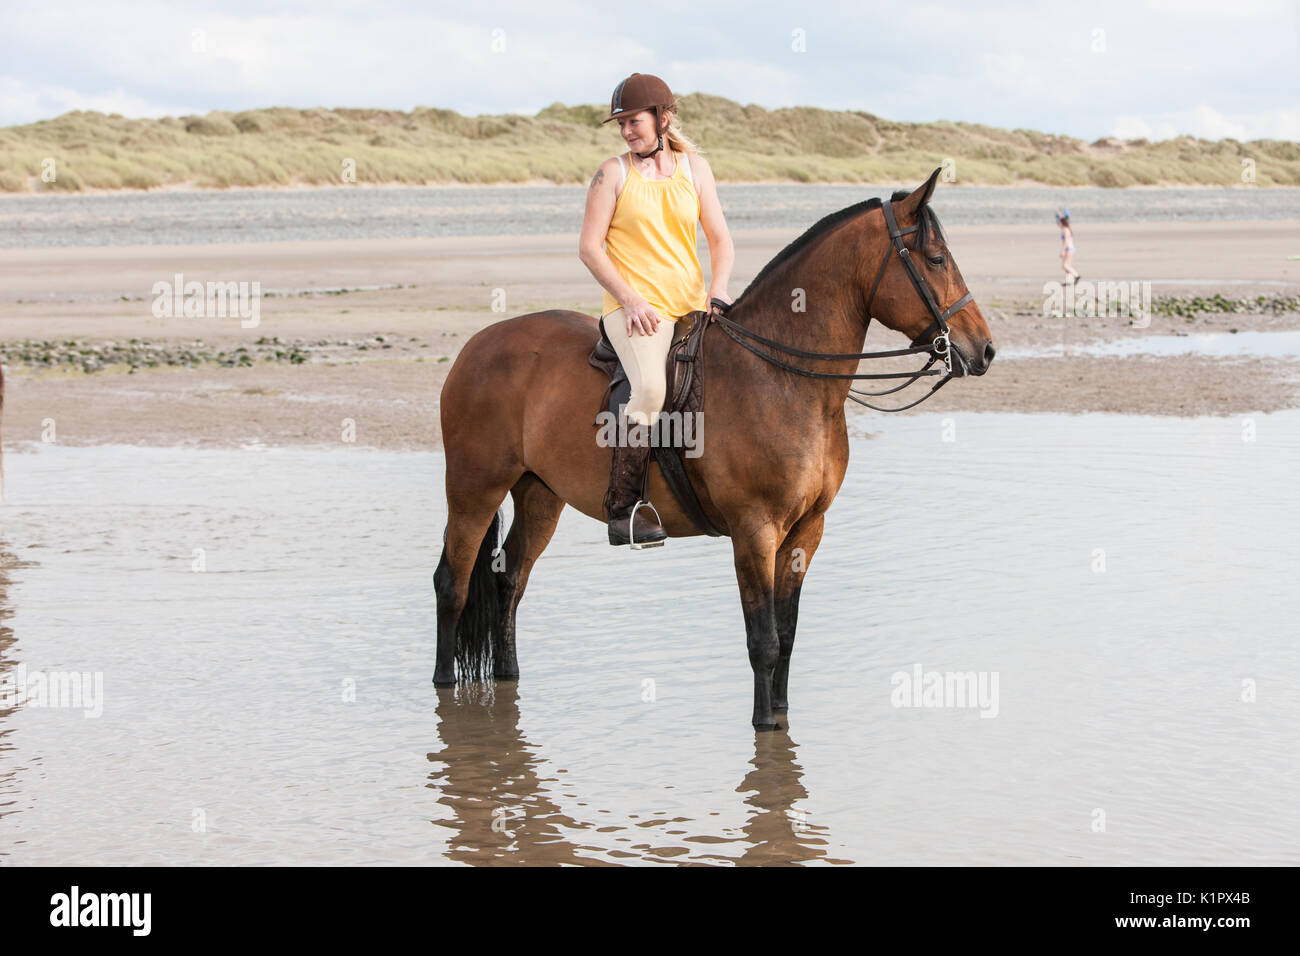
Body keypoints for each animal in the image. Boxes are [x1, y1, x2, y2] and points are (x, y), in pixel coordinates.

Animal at [433, 167, 995, 731]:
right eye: (937, 259)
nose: (984, 349)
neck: (781, 377)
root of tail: (477, 344)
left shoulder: (805, 532)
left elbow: (787, 636)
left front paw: (781, 718)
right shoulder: (754, 530)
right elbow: (763, 640)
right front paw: (765, 727)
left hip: (540, 496)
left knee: (510, 582)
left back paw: (508, 679)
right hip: (474, 491)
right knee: (452, 584)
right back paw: (443, 686)